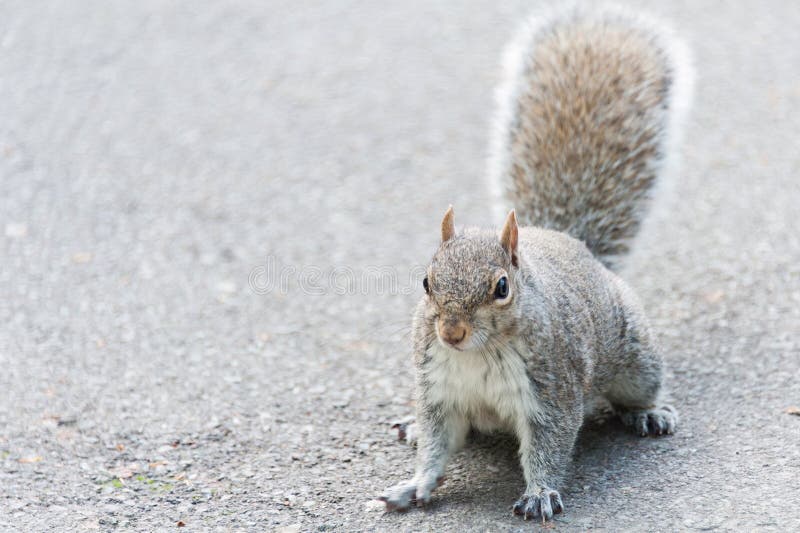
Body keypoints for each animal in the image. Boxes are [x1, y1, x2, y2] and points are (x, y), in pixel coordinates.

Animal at [379, 4, 693, 522]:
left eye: (502, 287)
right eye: (425, 281)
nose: (451, 332)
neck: (478, 354)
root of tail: (571, 242)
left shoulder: (551, 388)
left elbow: (550, 443)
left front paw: (541, 493)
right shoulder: (438, 390)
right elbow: (437, 445)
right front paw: (413, 484)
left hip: (636, 358)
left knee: (641, 387)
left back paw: (649, 412)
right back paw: (411, 424)